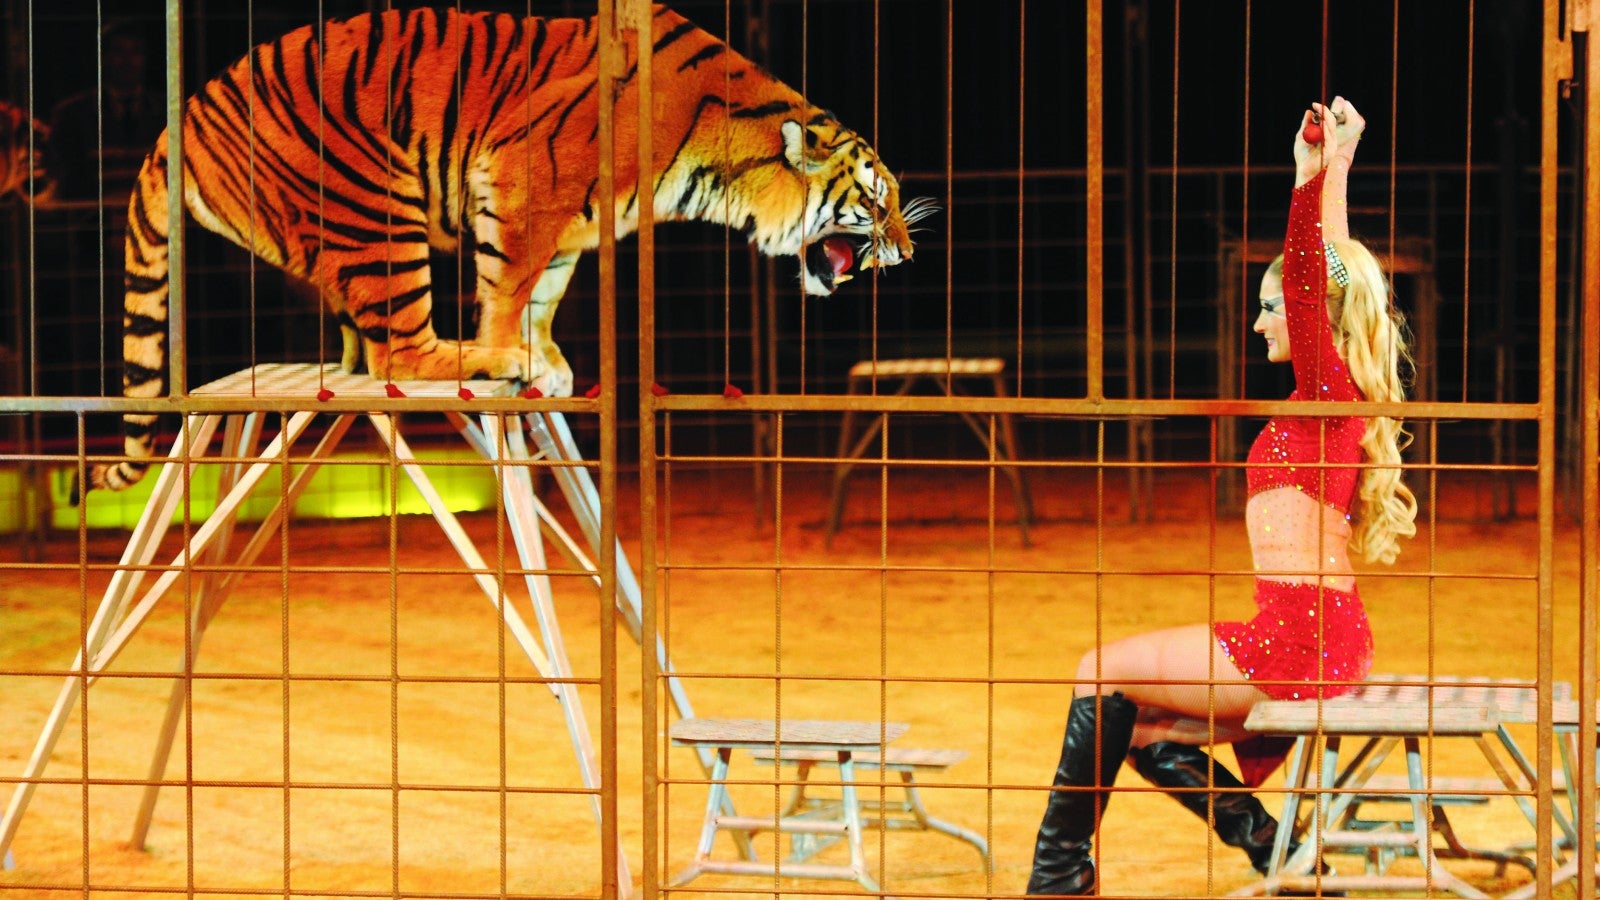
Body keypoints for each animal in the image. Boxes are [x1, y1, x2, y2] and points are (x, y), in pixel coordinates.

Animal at [90, 4, 932, 493]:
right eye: (875, 203)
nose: (908, 253)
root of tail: (180, 119)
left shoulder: (570, 225)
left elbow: (542, 293)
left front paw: (547, 358)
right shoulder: (529, 181)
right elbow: (507, 287)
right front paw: (513, 358)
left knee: (362, 347)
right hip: (377, 205)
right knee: (400, 350)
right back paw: (476, 360)